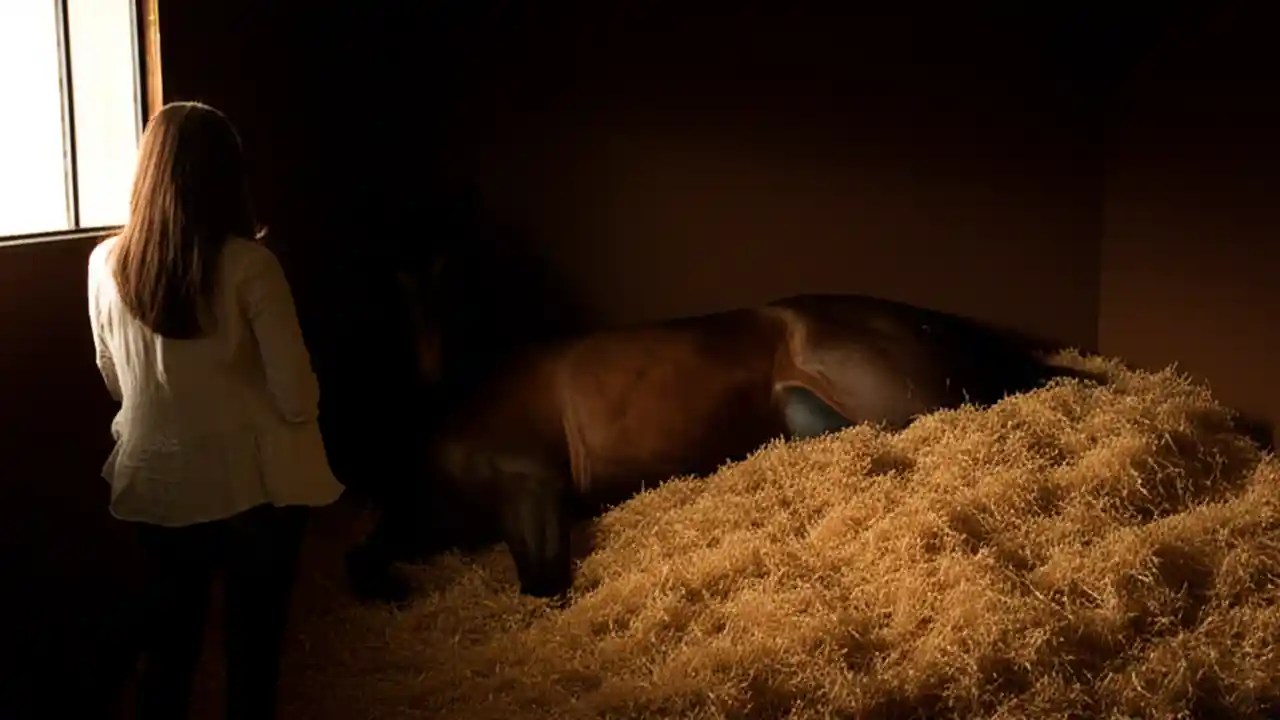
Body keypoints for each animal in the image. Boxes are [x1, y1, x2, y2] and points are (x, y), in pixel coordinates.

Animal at [345, 257, 1099, 601]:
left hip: (897, 394)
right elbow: (362, 557)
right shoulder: (428, 517)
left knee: (1011, 388)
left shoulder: (530, 484)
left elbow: (542, 586)